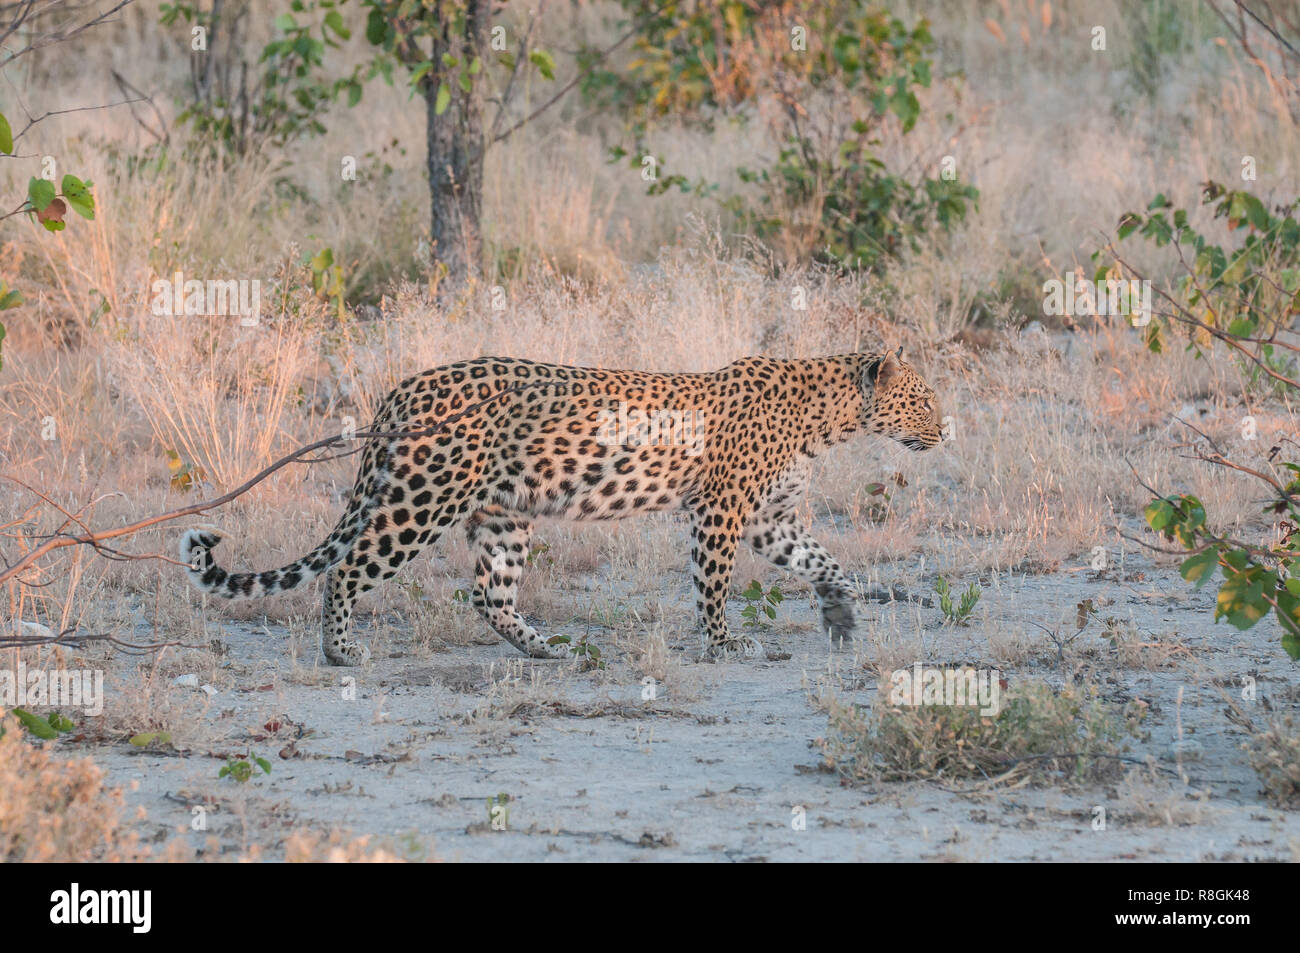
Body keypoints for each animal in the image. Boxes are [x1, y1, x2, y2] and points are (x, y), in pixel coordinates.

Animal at [180, 347, 942, 666]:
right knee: (347, 569)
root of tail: (402, 389)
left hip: (501, 514)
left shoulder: (768, 520)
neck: (830, 417)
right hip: (422, 500)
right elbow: (714, 585)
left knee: (490, 595)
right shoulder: (722, 512)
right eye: (926, 399)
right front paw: (725, 643)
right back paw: (340, 653)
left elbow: (826, 562)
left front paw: (841, 615)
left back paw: (547, 648)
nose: (947, 430)